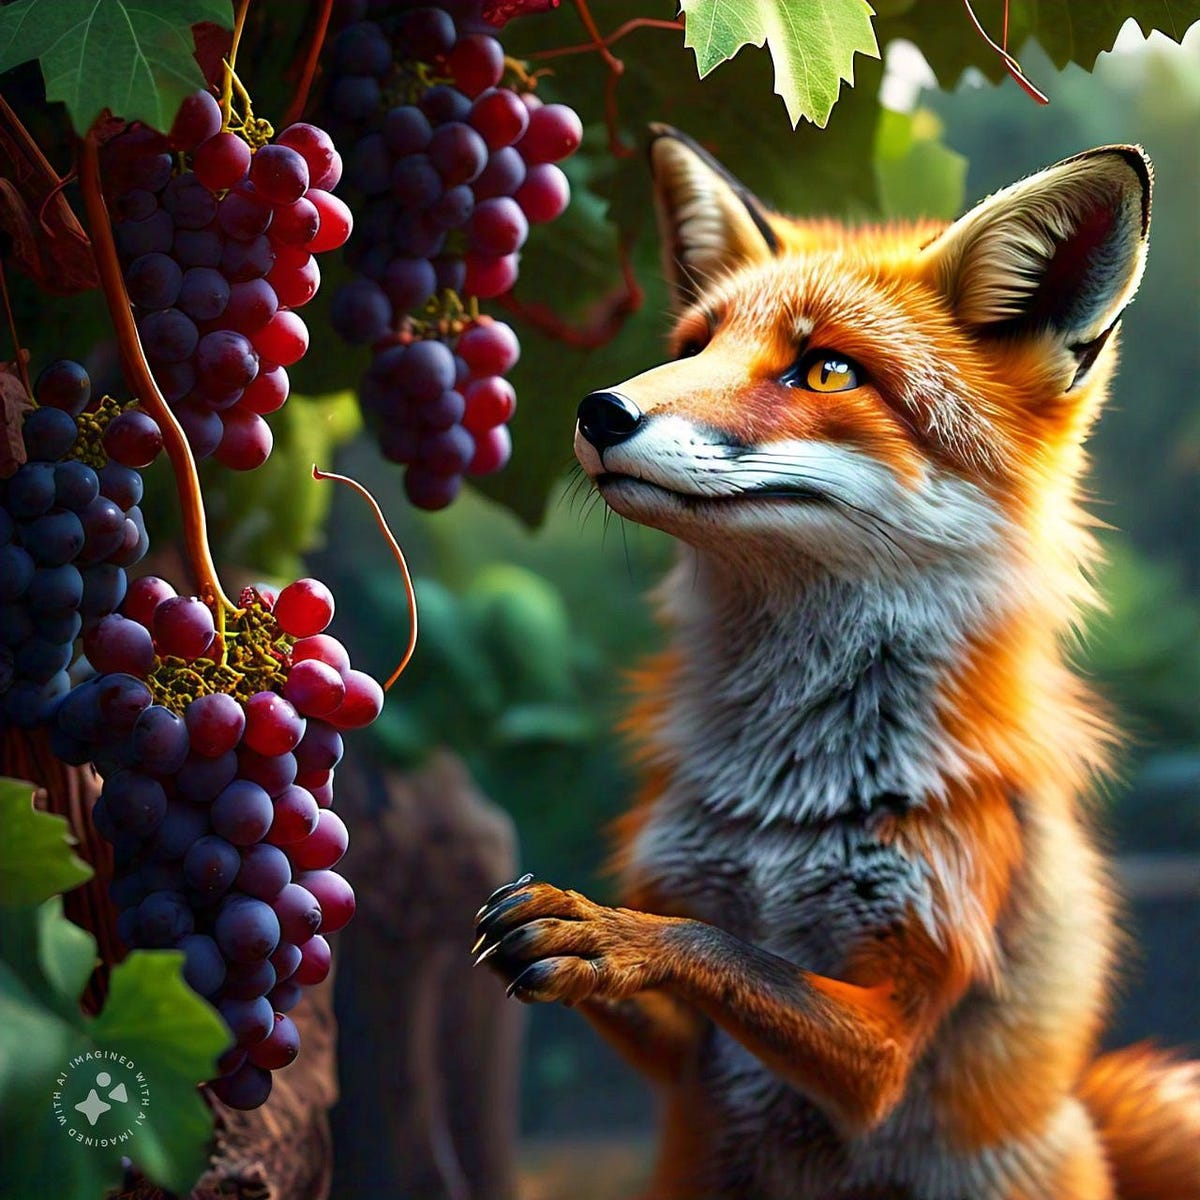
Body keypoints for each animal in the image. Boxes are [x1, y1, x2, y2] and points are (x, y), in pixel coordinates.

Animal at [472, 128, 1200, 1199]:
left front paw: (609, 931)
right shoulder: (688, 1059)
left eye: (824, 372)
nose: (599, 410)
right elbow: (691, 965)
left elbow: (732, 953)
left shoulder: (898, 1016)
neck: (786, 798)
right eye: (690, 348)